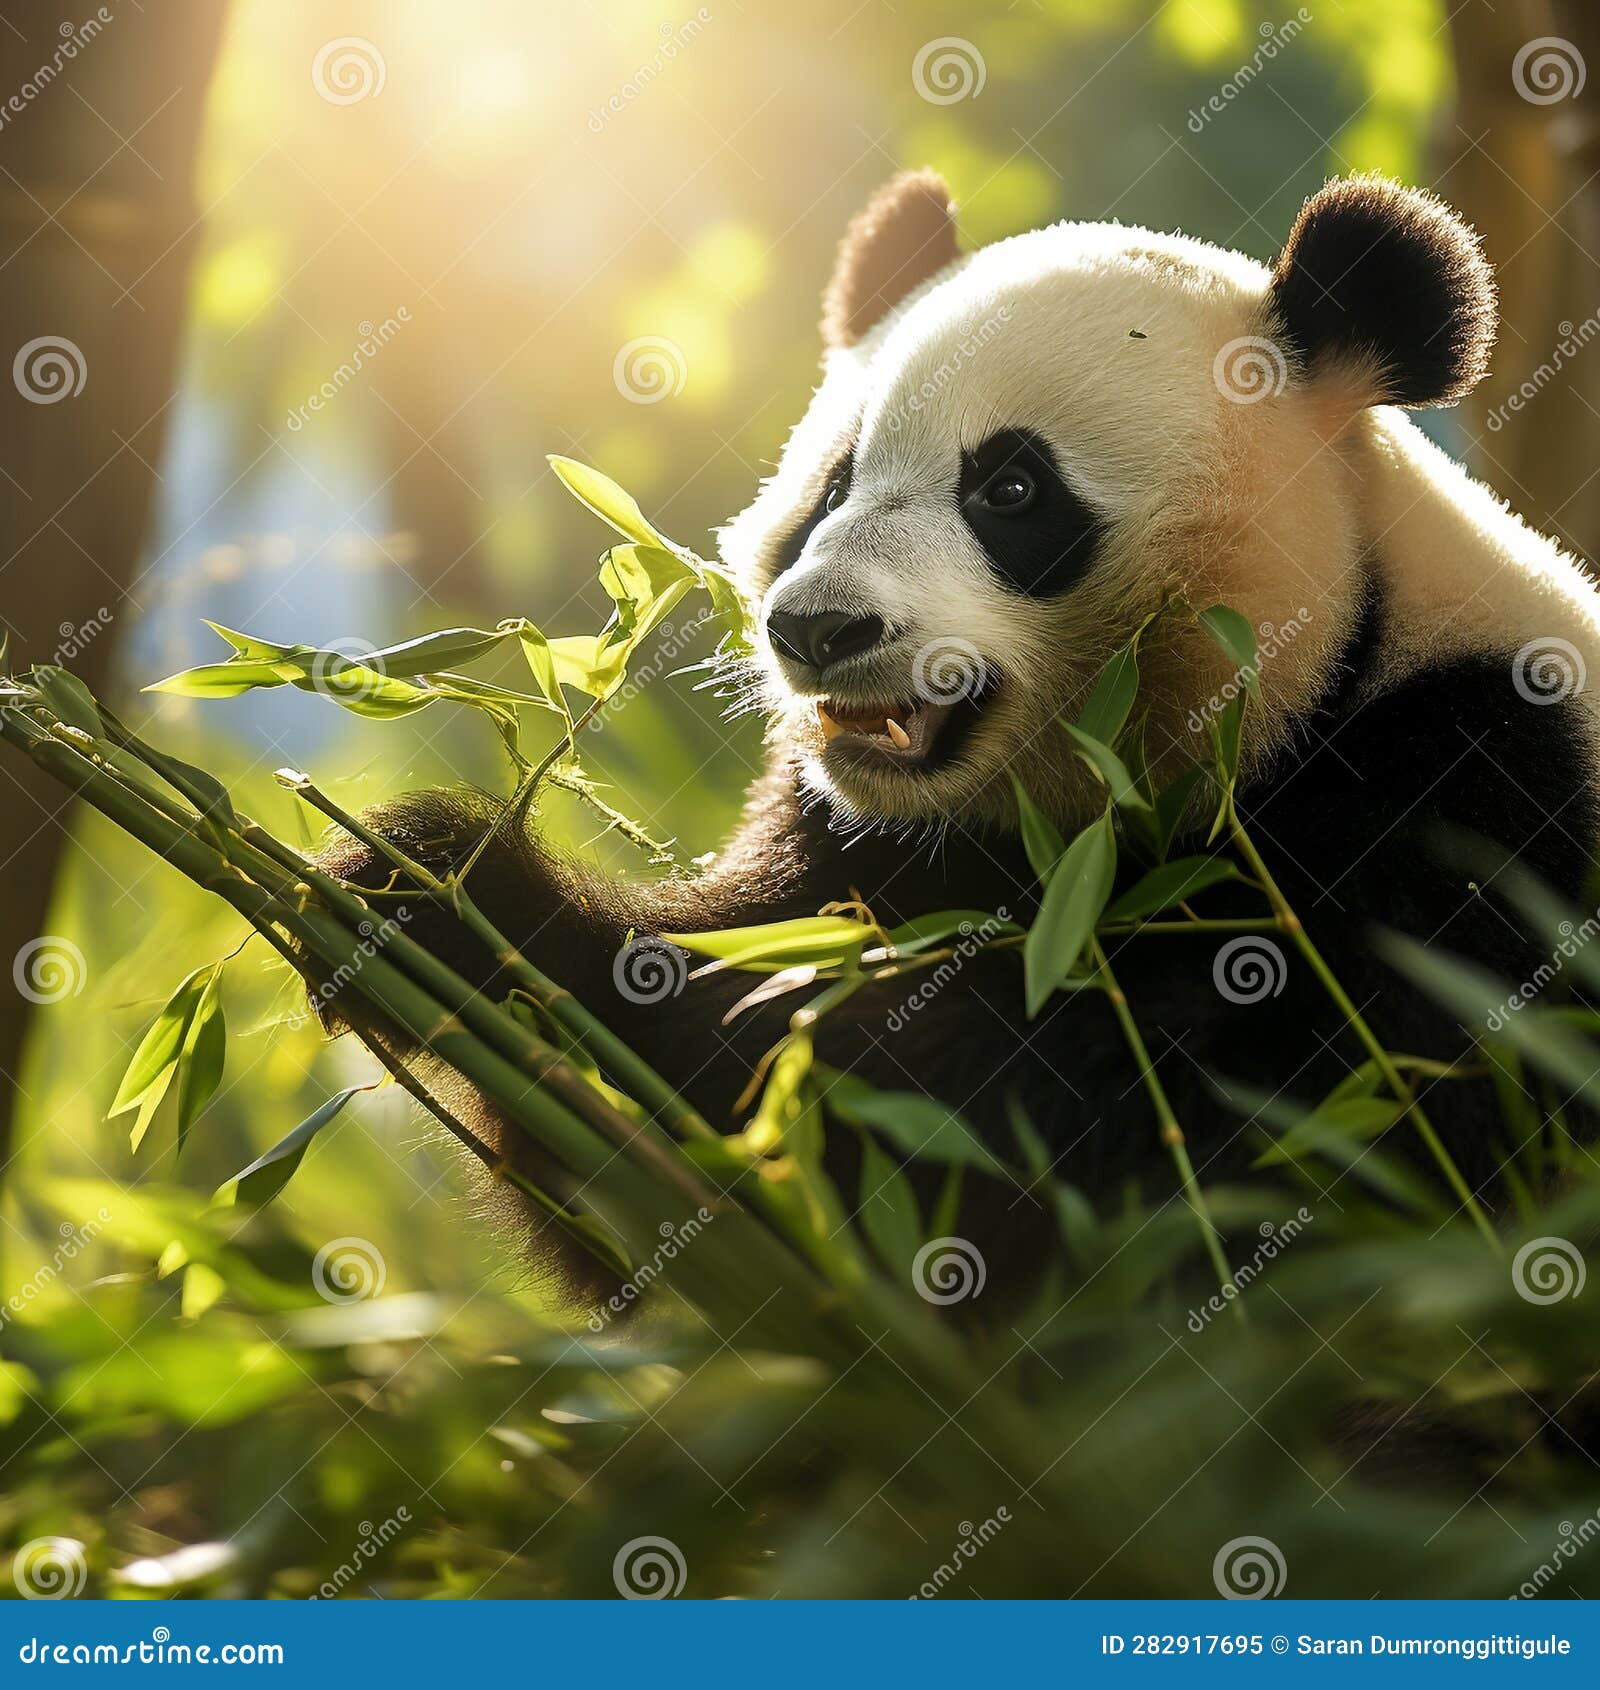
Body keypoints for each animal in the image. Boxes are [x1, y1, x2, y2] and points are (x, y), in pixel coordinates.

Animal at [322, 171, 1600, 1294]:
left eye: (1011, 490)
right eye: (833, 485)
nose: (819, 628)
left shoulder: (1470, 802)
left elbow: (1179, 1145)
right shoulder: (867, 840)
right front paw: (423, 892)